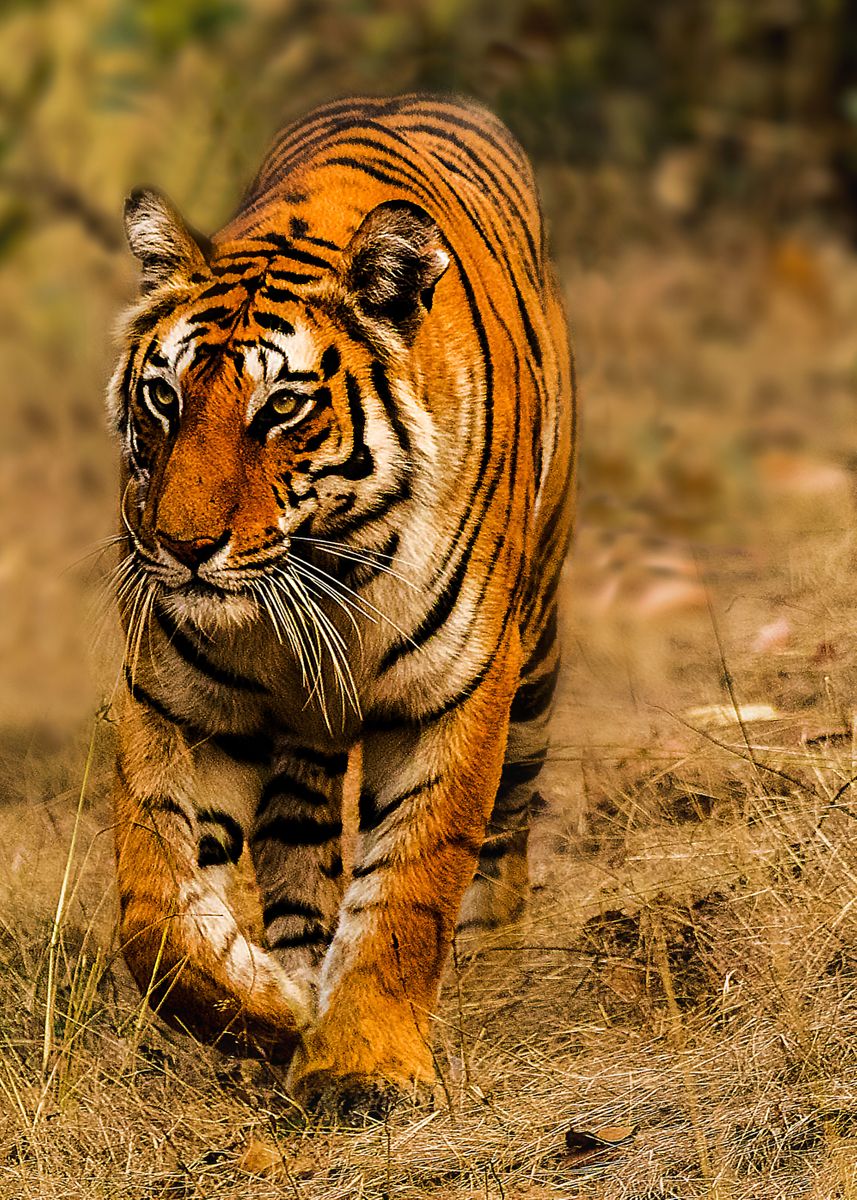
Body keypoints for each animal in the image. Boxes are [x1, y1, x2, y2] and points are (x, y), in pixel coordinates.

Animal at [107, 92, 575, 1117]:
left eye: (280, 408)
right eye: (162, 397)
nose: (180, 548)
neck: (322, 576)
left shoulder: (455, 698)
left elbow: (409, 889)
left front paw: (365, 1065)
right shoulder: (177, 700)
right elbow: (156, 913)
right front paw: (276, 1013)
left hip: (536, 662)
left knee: (506, 828)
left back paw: (493, 951)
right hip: (300, 741)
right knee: (297, 852)